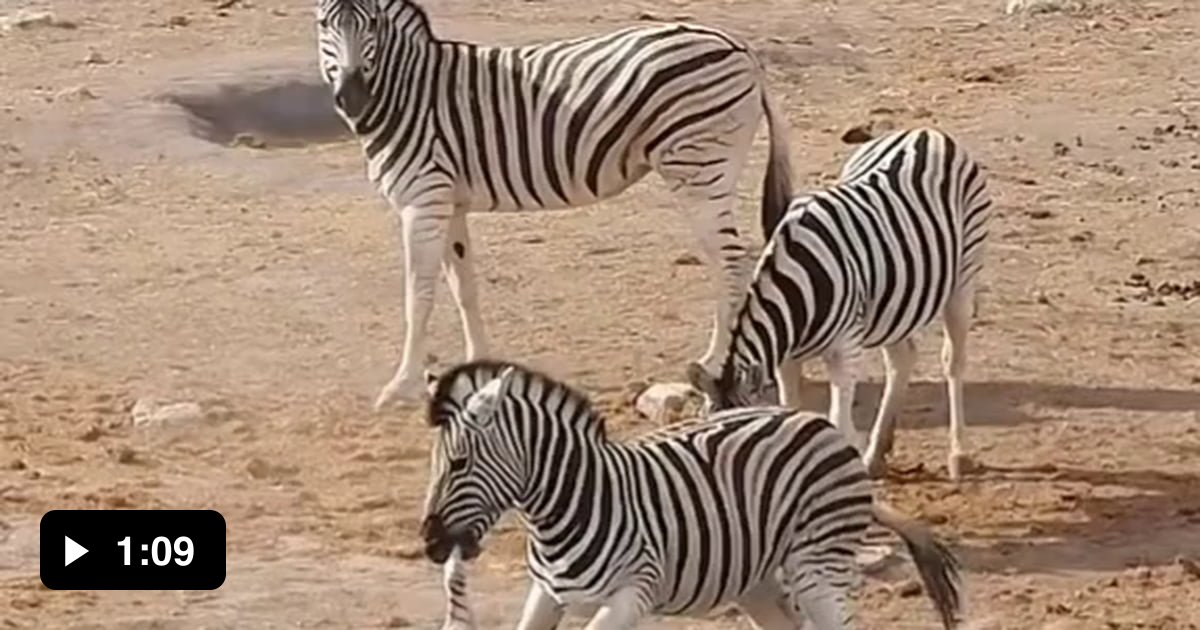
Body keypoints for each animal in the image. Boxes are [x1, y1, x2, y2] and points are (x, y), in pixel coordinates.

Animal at [315, 0, 794, 410]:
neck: (409, 94)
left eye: (373, 23)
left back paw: (717, 362)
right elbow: (463, 287)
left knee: (731, 262)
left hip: (698, 169)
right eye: (324, 24)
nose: (351, 97)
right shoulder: (449, 202)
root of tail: (738, 45)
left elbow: (419, 294)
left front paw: (401, 387)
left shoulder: (423, 199)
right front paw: (477, 364)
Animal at [419, 360, 964, 629]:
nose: (429, 541)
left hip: (816, 566)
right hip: (755, 580)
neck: (573, 506)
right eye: (436, 464)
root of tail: (821, 426)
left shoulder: (632, 594)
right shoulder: (546, 596)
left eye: (459, 463)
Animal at [686, 127, 992, 481]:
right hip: (895, 302)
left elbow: (840, 425)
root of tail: (926, 132)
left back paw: (959, 454)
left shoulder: (845, 348)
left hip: (963, 279)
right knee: (902, 359)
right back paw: (876, 454)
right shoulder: (786, 358)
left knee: (953, 362)